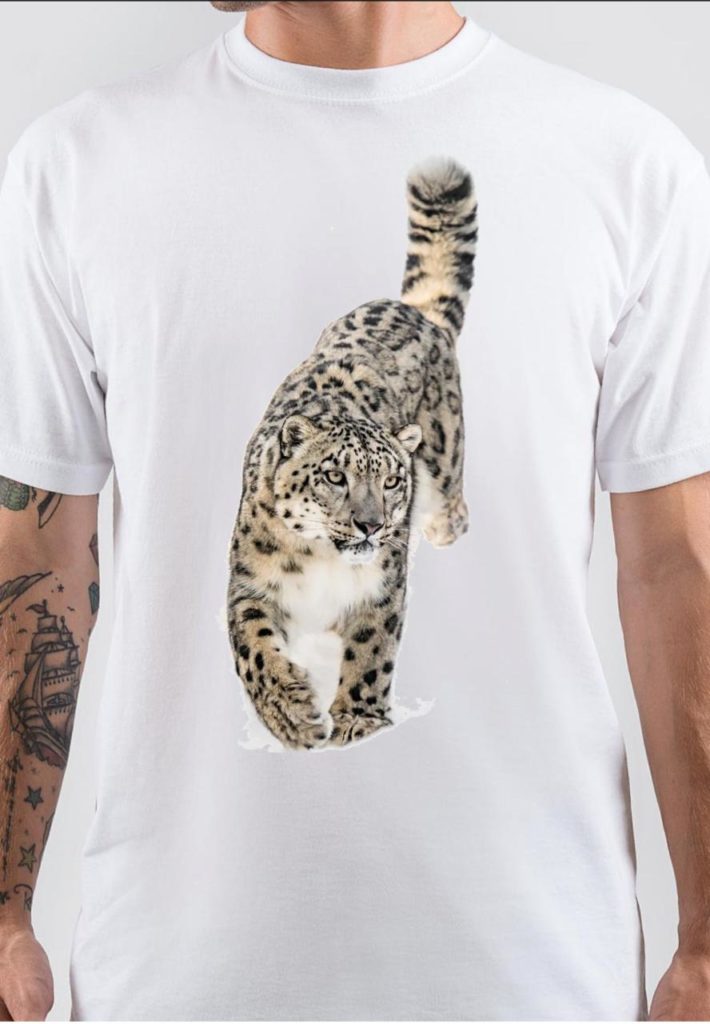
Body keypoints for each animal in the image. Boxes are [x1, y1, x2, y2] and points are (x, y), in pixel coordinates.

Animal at [227, 157, 477, 751]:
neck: (323, 560)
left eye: (391, 481)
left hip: (444, 462)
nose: (371, 524)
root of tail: (412, 311)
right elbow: (254, 651)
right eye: (334, 477)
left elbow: (370, 653)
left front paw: (359, 724)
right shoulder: (250, 584)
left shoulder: (381, 589)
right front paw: (293, 716)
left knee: (453, 508)